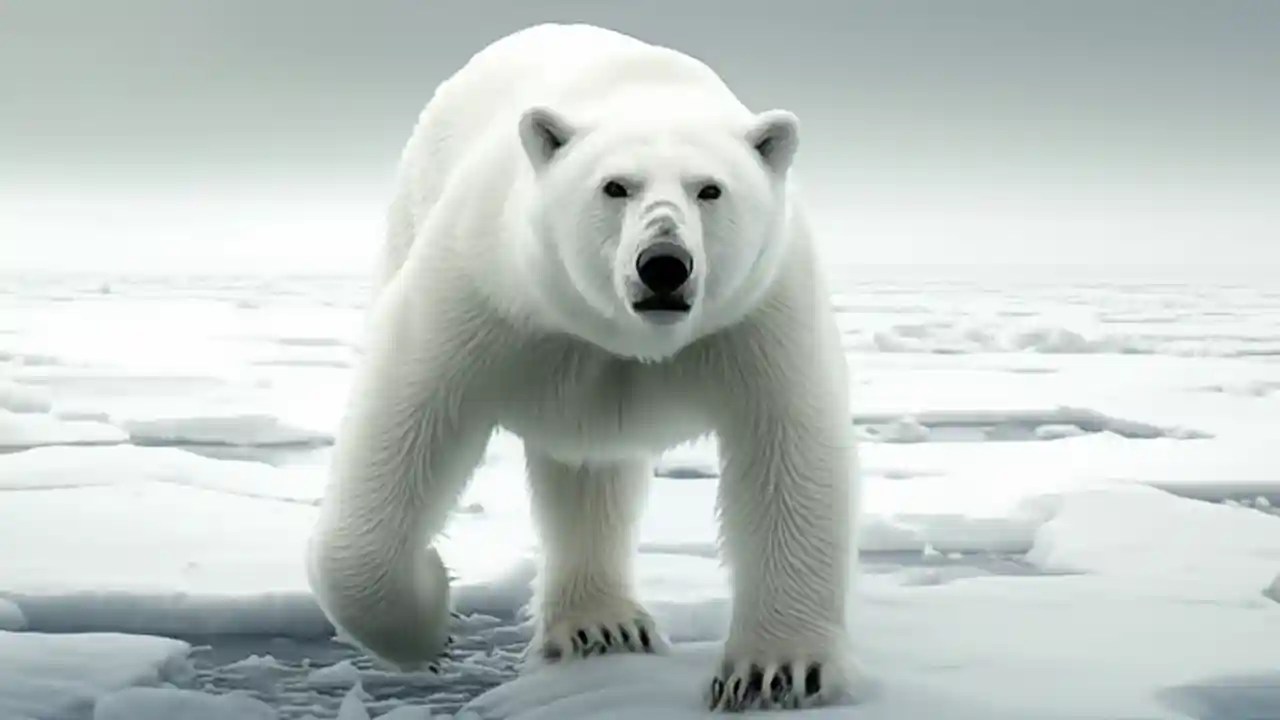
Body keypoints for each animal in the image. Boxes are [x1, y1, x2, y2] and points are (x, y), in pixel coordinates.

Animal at [306, 23, 860, 713]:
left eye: (710, 189)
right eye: (615, 186)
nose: (664, 264)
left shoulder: (757, 315)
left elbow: (789, 448)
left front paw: (773, 674)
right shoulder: (487, 289)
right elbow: (408, 412)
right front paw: (429, 618)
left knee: (593, 473)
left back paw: (603, 625)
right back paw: (600, 626)